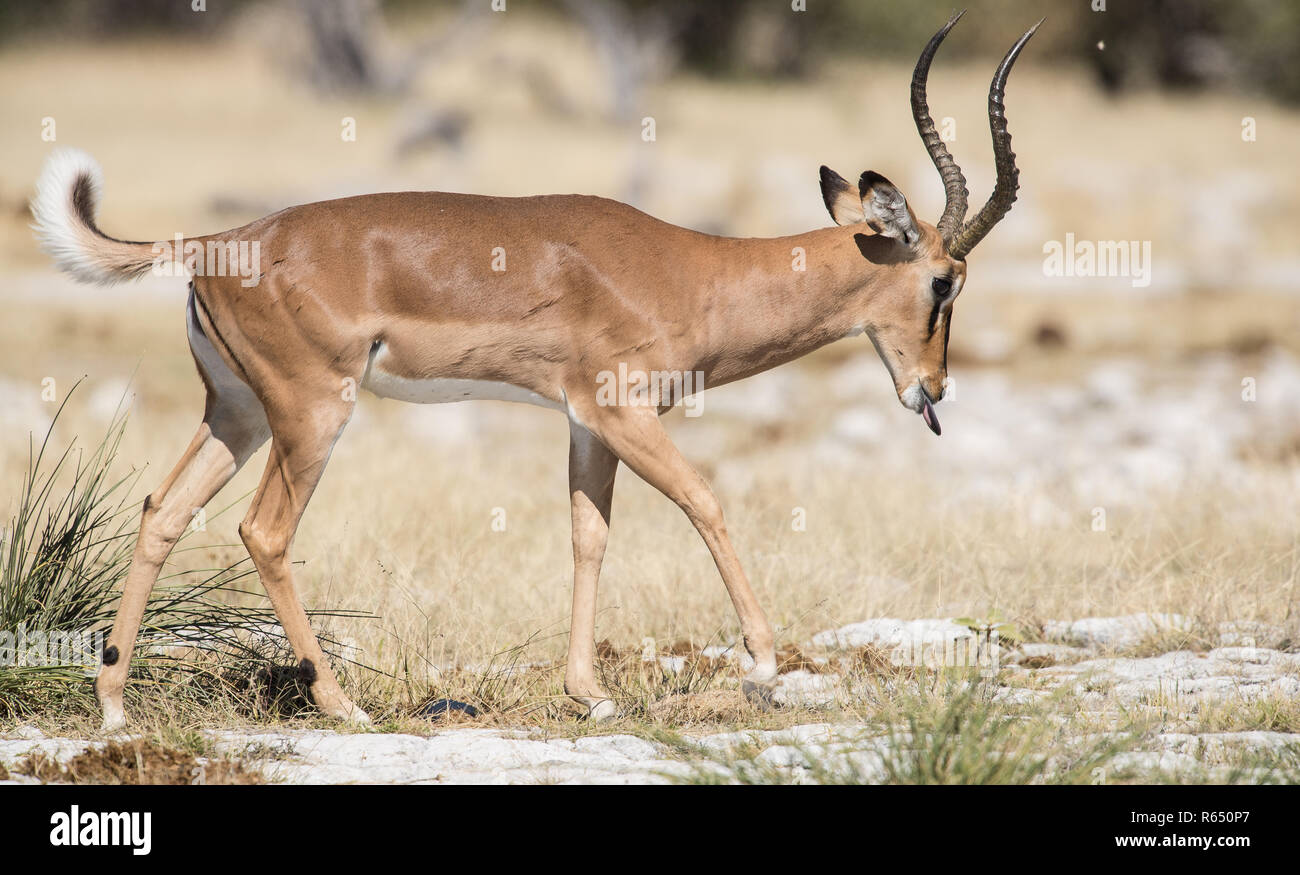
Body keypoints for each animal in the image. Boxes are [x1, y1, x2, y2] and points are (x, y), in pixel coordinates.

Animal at [31, 13, 1038, 730]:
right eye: (943, 279)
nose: (931, 390)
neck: (694, 270)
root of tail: (212, 245)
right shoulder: (628, 413)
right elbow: (707, 500)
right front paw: (762, 667)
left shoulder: (586, 423)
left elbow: (588, 537)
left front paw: (590, 692)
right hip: (312, 413)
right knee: (263, 531)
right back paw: (343, 704)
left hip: (236, 414)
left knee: (162, 511)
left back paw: (114, 705)